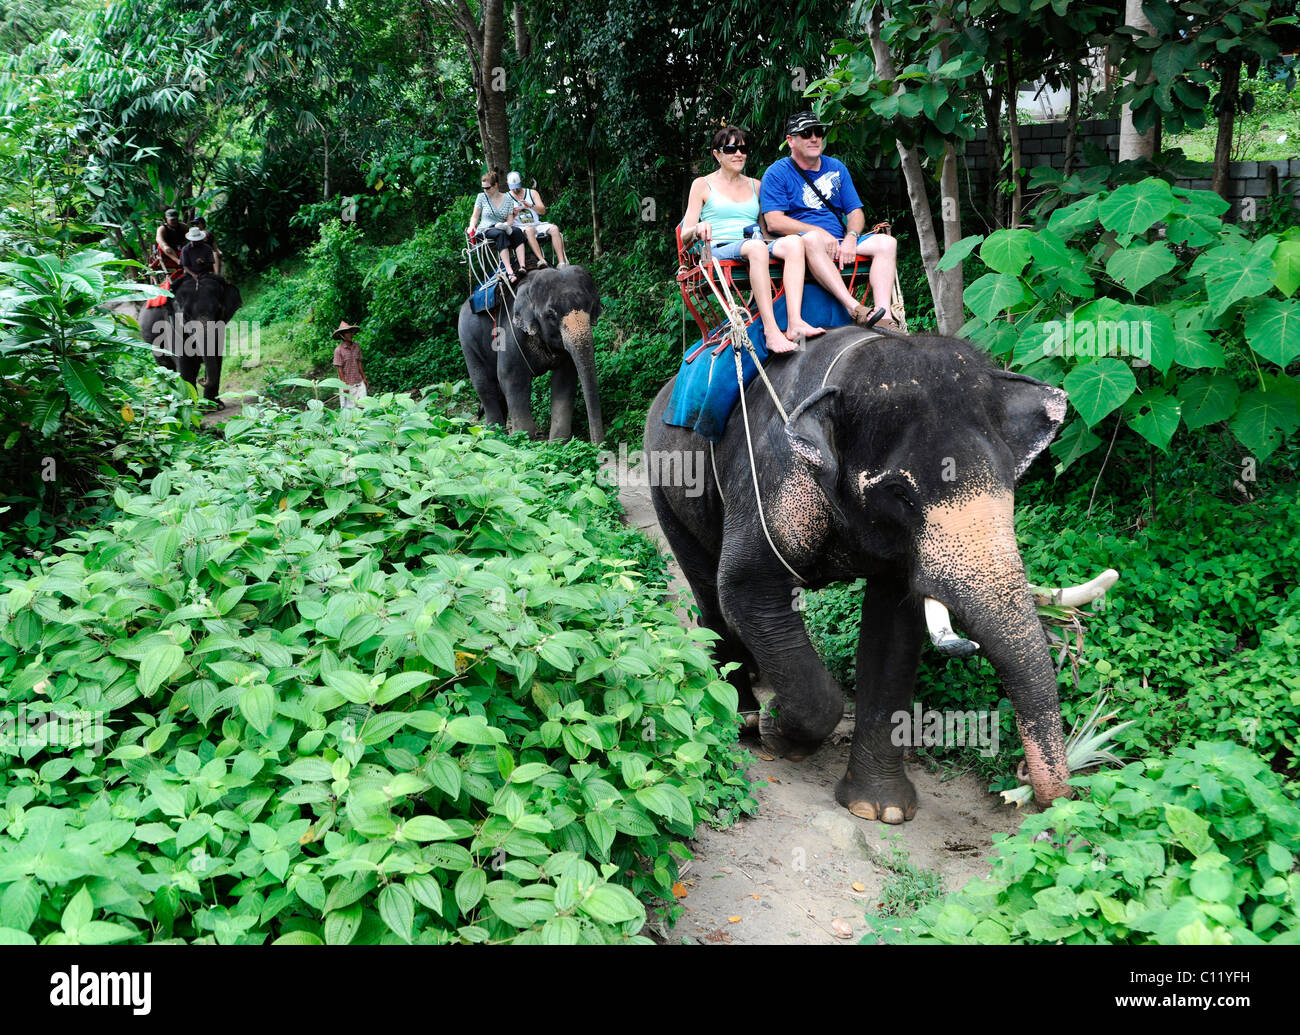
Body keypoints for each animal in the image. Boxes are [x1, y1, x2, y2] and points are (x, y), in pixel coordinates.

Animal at [139, 273, 243, 402]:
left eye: (219, 311)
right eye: (186, 316)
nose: (202, 379)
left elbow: (217, 358)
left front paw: (214, 405)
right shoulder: (172, 327)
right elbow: (184, 362)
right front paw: (189, 404)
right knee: (166, 366)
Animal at [457, 265, 604, 443]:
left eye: (590, 307)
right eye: (550, 315)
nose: (598, 446)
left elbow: (565, 379)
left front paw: (557, 443)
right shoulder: (511, 332)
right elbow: (511, 377)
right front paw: (523, 439)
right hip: (467, 341)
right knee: (485, 385)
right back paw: (495, 436)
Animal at [645, 326, 1106, 823]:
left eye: (1011, 483)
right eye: (899, 492)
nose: (1039, 795)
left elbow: (894, 630)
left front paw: (879, 810)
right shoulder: (772, 478)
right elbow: (745, 589)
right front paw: (777, 729)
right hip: (667, 482)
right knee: (710, 593)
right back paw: (742, 717)